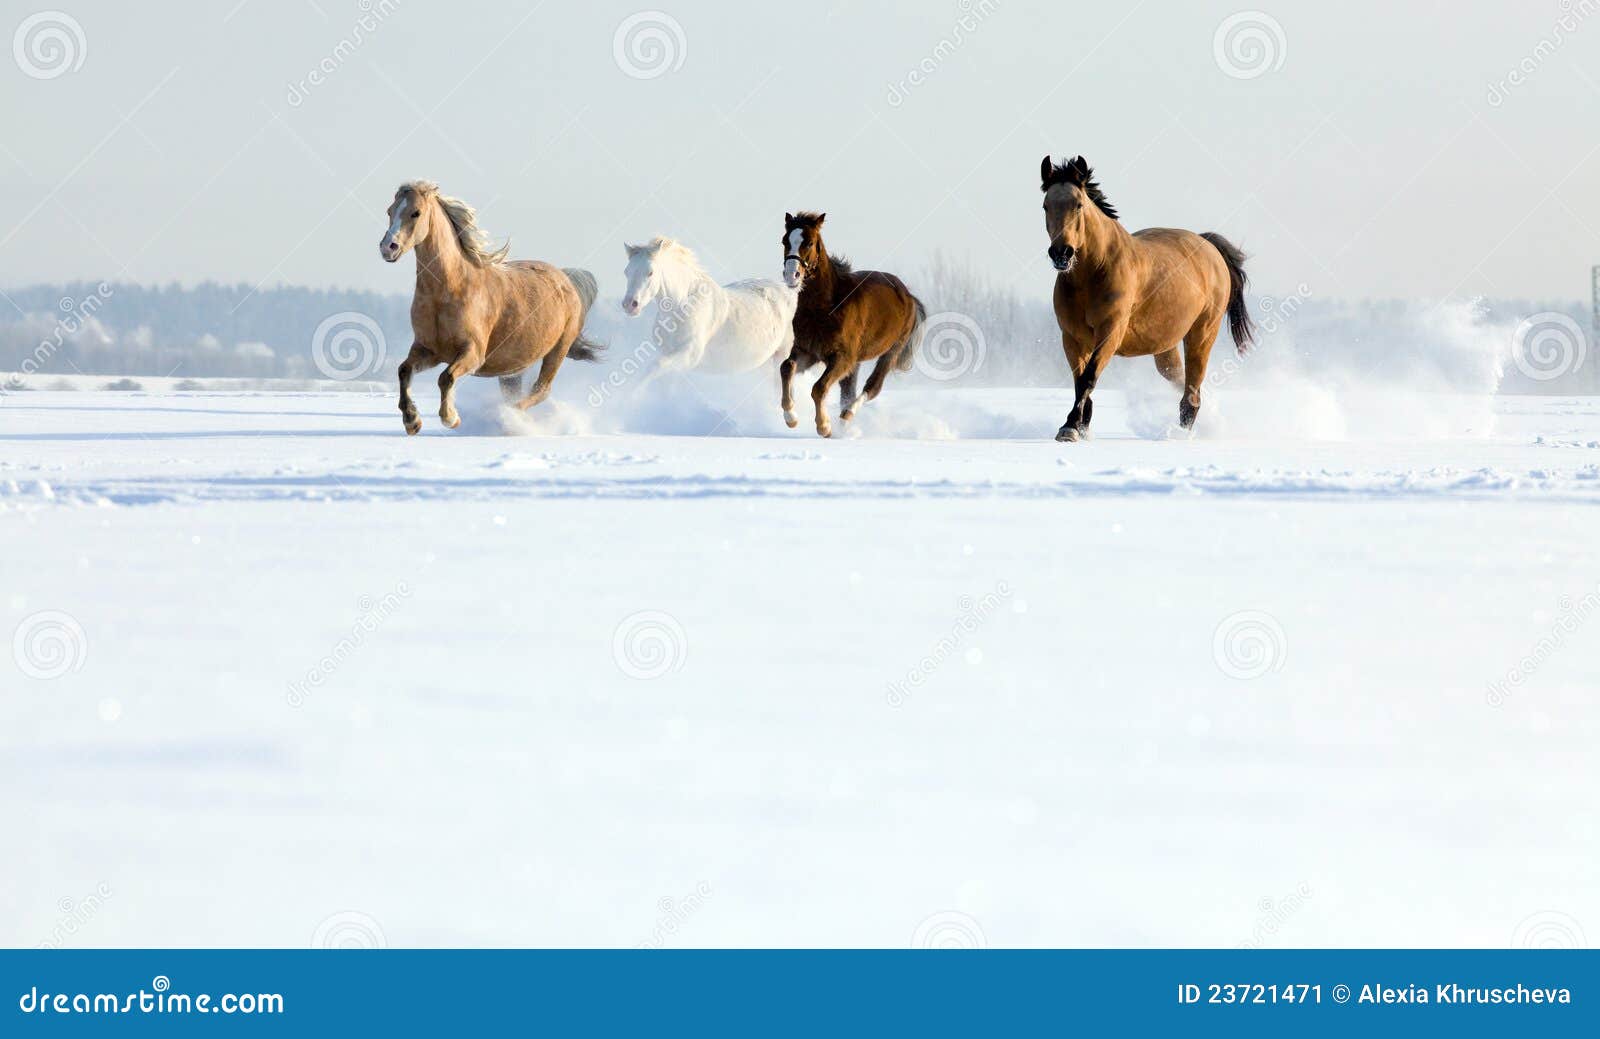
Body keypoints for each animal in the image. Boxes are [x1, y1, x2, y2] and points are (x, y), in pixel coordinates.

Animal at [378, 180, 603, 435]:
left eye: (416, 212)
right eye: (390, 211)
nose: (388, 247)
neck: (449, 290)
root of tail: (567, 279)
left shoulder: (473, 353)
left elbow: (446, 377)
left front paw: (450, 418)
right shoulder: (427, 349)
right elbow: (404, 370)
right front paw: (412, 421)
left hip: (558, 349)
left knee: (541, 390)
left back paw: (509, 417)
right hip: (515, 367)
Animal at [619, 237, 796, 374]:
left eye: (651, 272)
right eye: (626, 272)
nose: (630, 305)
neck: (680, 309)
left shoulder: (688, 355)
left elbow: (655, 367)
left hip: (782, 357)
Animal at [778, 212, 926, 438]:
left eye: (809, 242)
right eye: (785, 241)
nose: (791, 275)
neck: (825, 306)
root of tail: (909, 297)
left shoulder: (842, 357)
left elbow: (819, 387)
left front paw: (824, 426)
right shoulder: (807, 351)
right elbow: (786, 367)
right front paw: (791, 417)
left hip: (891, 351)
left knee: (872, 388)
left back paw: (844, 420)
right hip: (856, 362)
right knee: (849, 391)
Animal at [1040, 155, 1255, 441]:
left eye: (1079, 205)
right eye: (1046, 206)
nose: (1061, 253)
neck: (1095, 272)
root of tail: (1209, 247)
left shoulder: (1111, 332)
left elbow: (1088, 378)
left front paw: (1070, 428)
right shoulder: (1072, 337)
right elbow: (1079, 380)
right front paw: (1080, 428)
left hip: (1202, 333)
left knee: (1192, 390)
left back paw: (1180, 433)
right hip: (1166, 347)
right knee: (1181, 380)